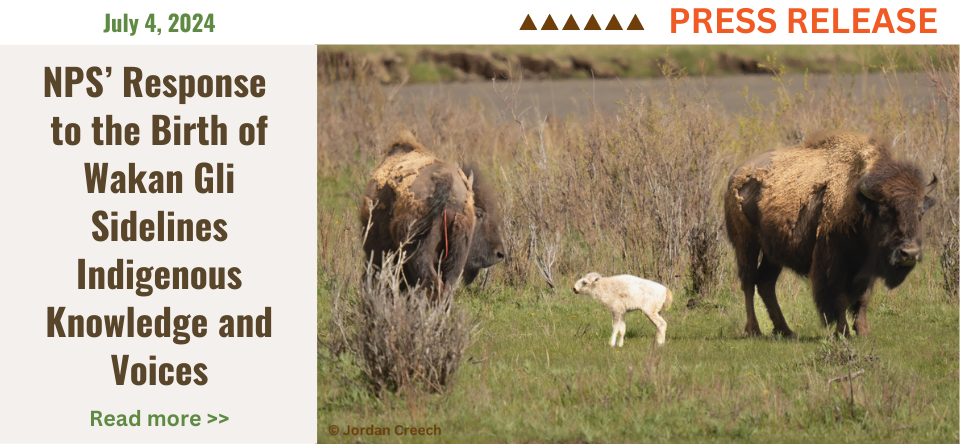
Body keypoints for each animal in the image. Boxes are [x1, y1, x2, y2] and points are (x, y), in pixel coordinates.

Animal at [724, 131, 936, 337]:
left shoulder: (866, 267)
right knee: (748, 281)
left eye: (920, 213)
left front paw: (864, 332)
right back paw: (754, 330)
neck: (860, 202)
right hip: (746, 244)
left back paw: (787, 331)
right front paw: (843, 332)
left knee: (765, 284)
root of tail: (736, 175)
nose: (909, 253)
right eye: (884, 213)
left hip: (773, 253)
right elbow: (839, 298)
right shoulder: (833, 263)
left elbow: (863, 298)